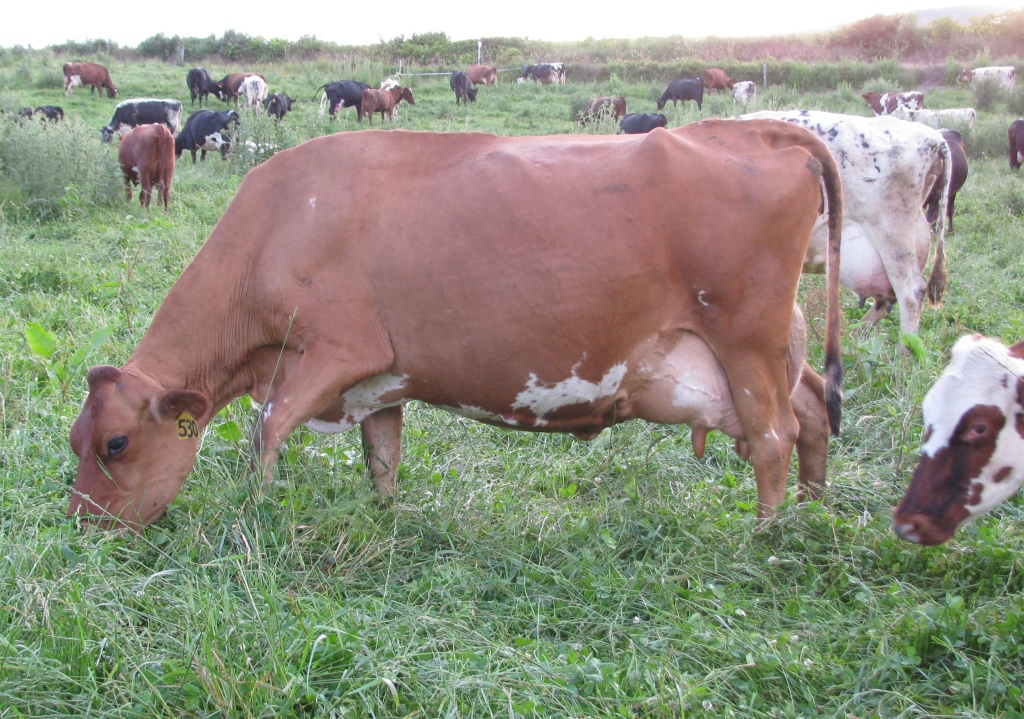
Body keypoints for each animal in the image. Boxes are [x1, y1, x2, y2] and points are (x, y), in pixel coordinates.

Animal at [67, 121, 844, 533]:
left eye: (116, 443)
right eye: (76, 441)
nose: (82, 526)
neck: (280, 224)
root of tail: (751, 128)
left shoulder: (337, 350)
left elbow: (266, 430)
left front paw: (257, 510)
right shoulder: (381, 380)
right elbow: (382, 459)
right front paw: (383, 522)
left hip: (745, 340)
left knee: (774, 437)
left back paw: (761, 537)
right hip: (772, 345)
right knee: (813, 409)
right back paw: (814, 514)